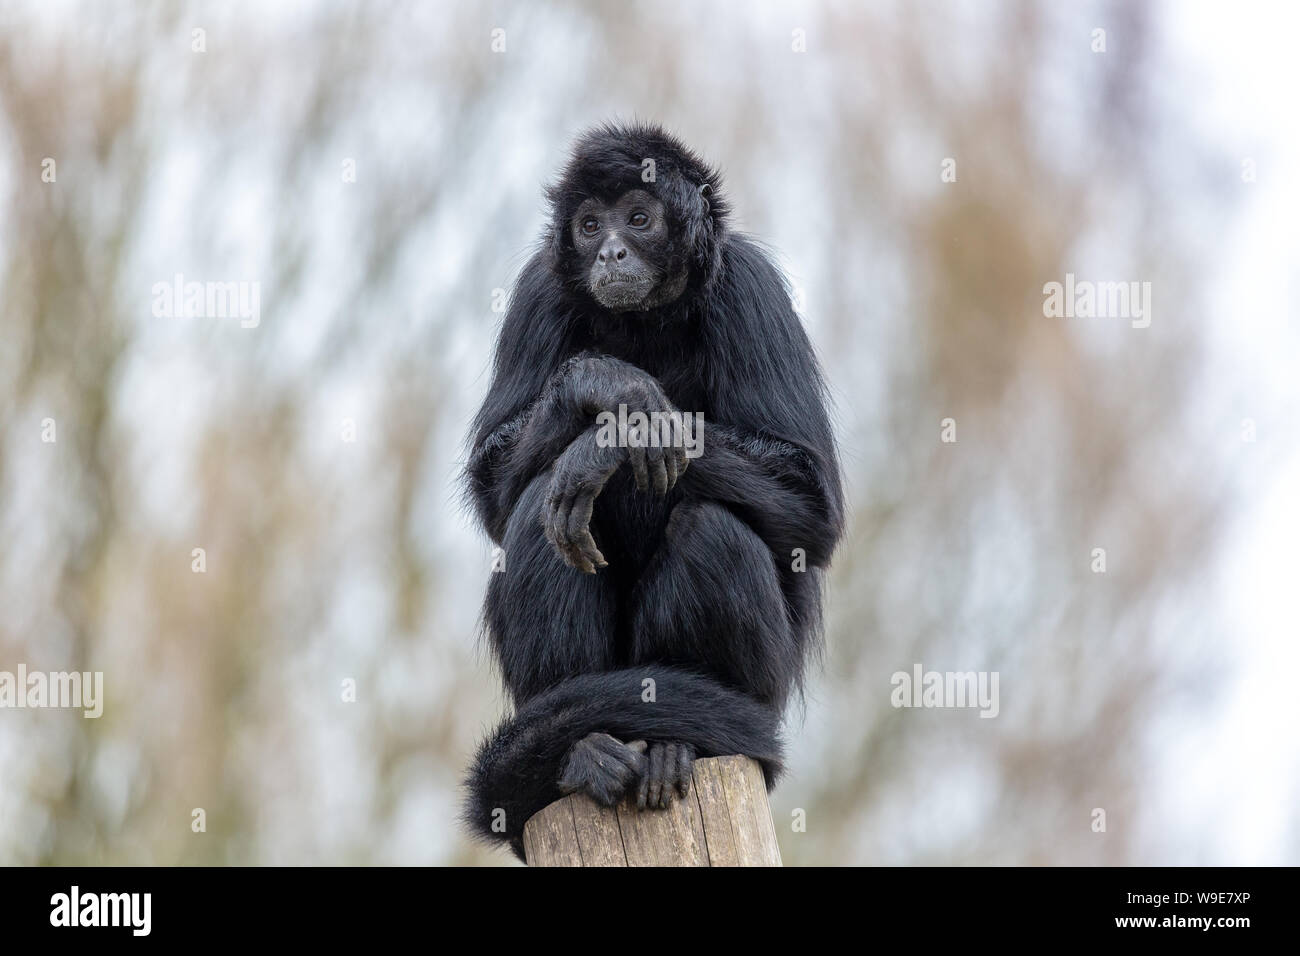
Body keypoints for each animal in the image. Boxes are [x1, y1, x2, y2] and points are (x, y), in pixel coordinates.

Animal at [463, 123, 843, 859]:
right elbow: (496, 495)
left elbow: (815, 510)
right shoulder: (537, 290)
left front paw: (610, 438)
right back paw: (583, 750)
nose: (611, 249)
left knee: (710, 528)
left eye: (639, 218)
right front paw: (606, 393)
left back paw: (676, 743)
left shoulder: (749, 286)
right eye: (589, 226)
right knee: (539, 512)